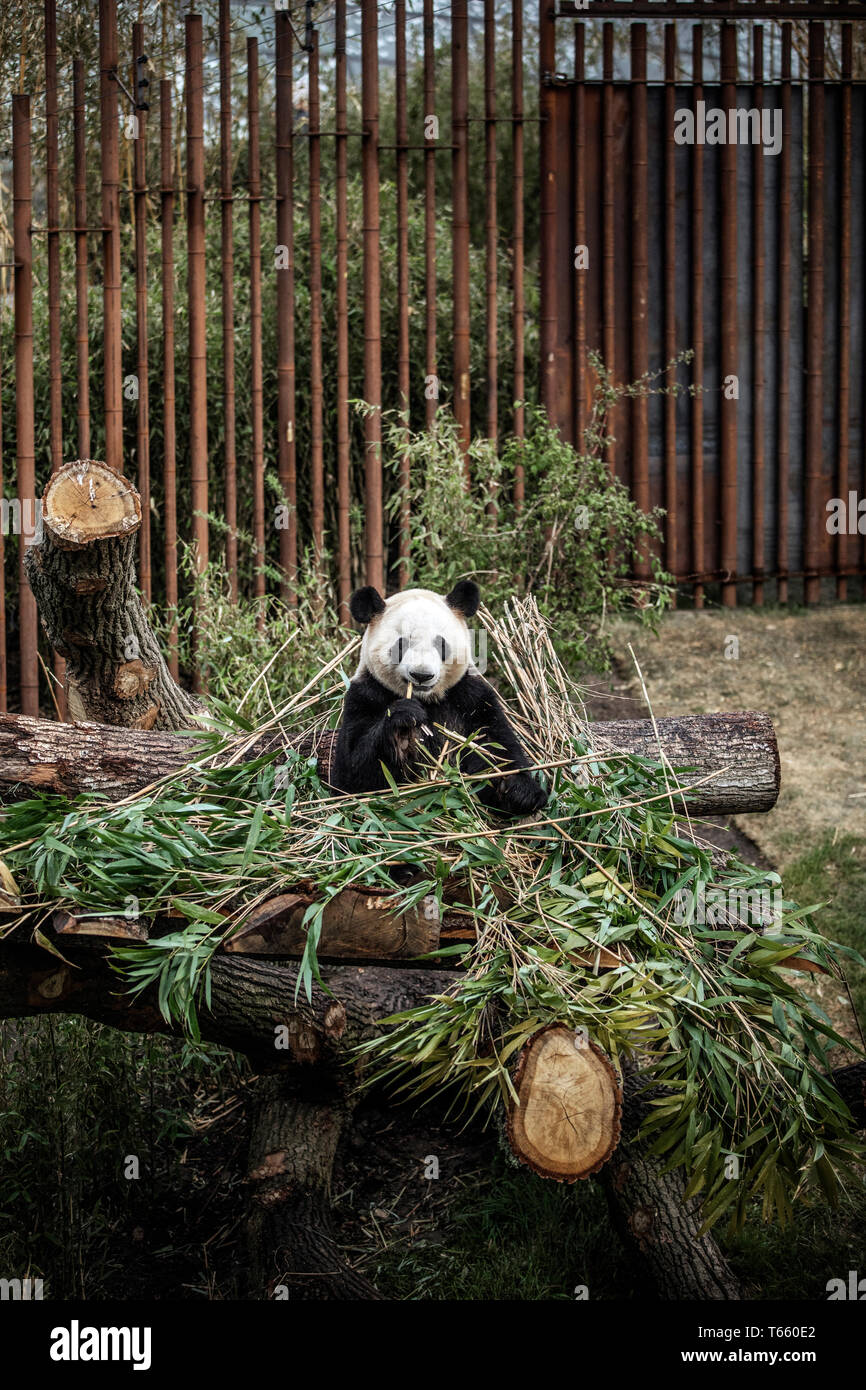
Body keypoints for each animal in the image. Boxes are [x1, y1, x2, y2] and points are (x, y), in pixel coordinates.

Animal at [331, 580, 548, 817]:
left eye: (440, 644)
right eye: (401, 644)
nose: (421, 675)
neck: (427, 700)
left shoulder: (472, 697)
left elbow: (493, 748)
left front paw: (519, 791)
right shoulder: (365, 695)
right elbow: (353, 778)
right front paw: (402, 727)